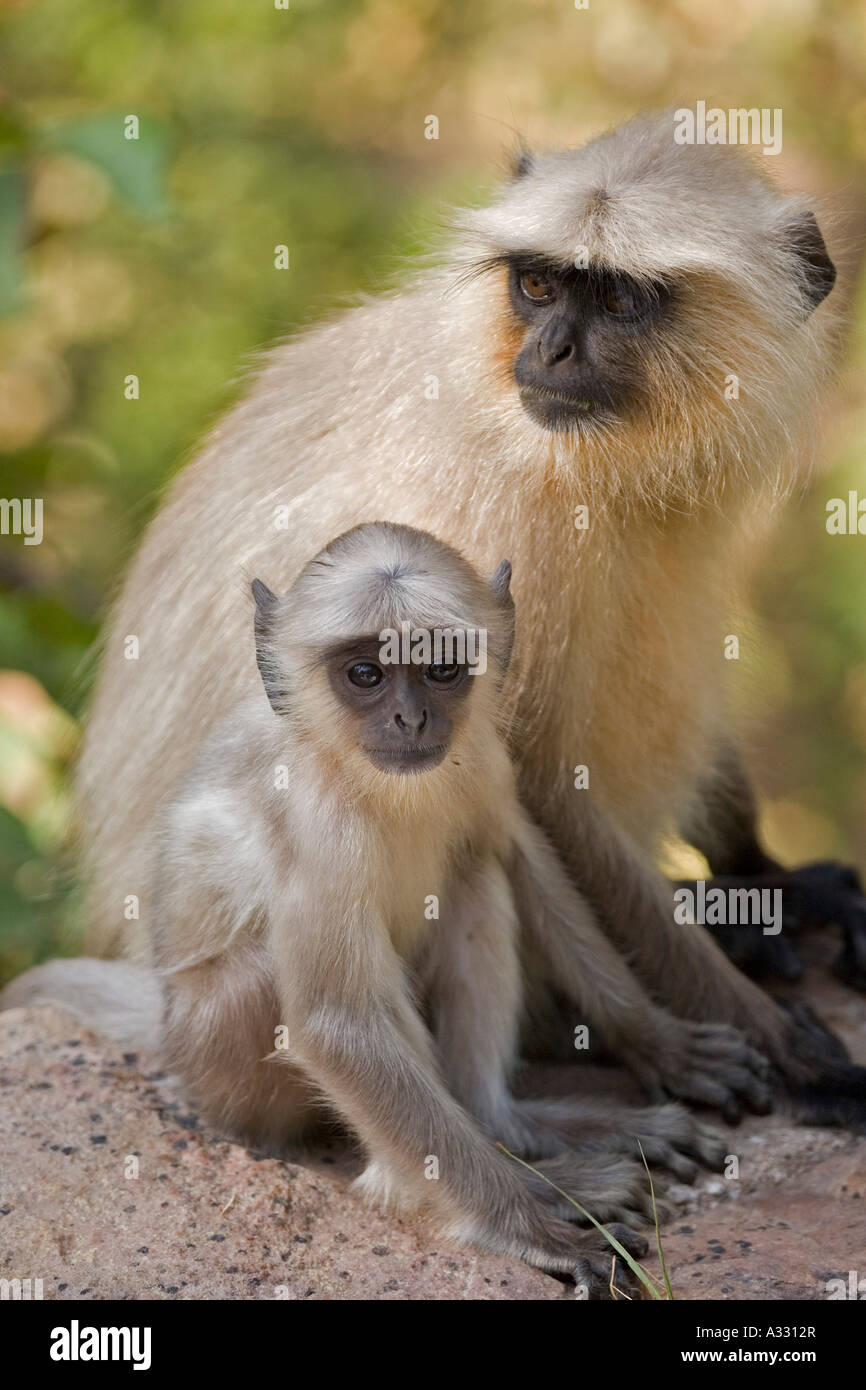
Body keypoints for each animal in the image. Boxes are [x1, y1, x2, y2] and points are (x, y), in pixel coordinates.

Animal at [6, 521, 762, 1291]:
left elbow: (525, 861)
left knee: (474, 876)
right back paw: (510, 1187)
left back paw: (517, 1131)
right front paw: (531, 1230)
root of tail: (165, 1017)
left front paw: (659, 1042)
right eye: (366, 674)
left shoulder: (481, 753)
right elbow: (335, 1025)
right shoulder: (314, 818)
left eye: (440, 669)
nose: (410, 716)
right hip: (217, 1053)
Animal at [21, 112, 866, 1125]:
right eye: (538, 285)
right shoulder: (491, 510)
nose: (552, 353)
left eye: (621, 299)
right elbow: (531, 781)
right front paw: (772, 1038)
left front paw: (765, 883)